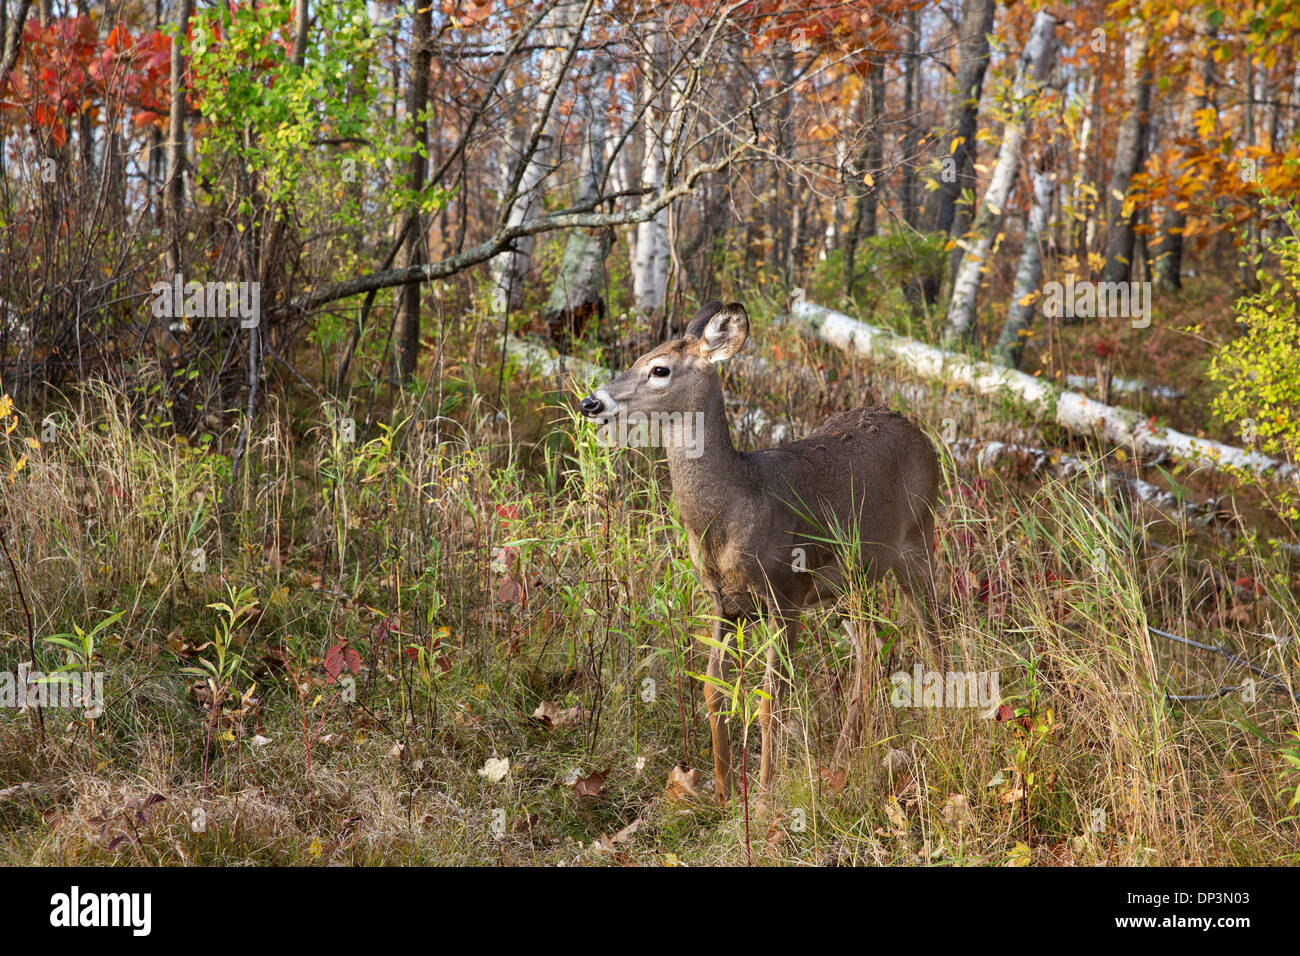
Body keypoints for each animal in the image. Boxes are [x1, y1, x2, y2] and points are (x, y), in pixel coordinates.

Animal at [579, 301, 942, 805]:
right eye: (637, 359)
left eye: (659, 369)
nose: (591, 403)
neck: (733, 508)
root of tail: (916, 429)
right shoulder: (722, 601)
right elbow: (713, 689)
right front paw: (722, 791)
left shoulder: (785, 593)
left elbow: (772, 696)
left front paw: (767, 791)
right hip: (849, 585)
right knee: (869, 652)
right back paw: (843, 757)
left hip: (917, 539)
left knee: (934, 633)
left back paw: (944, 724)